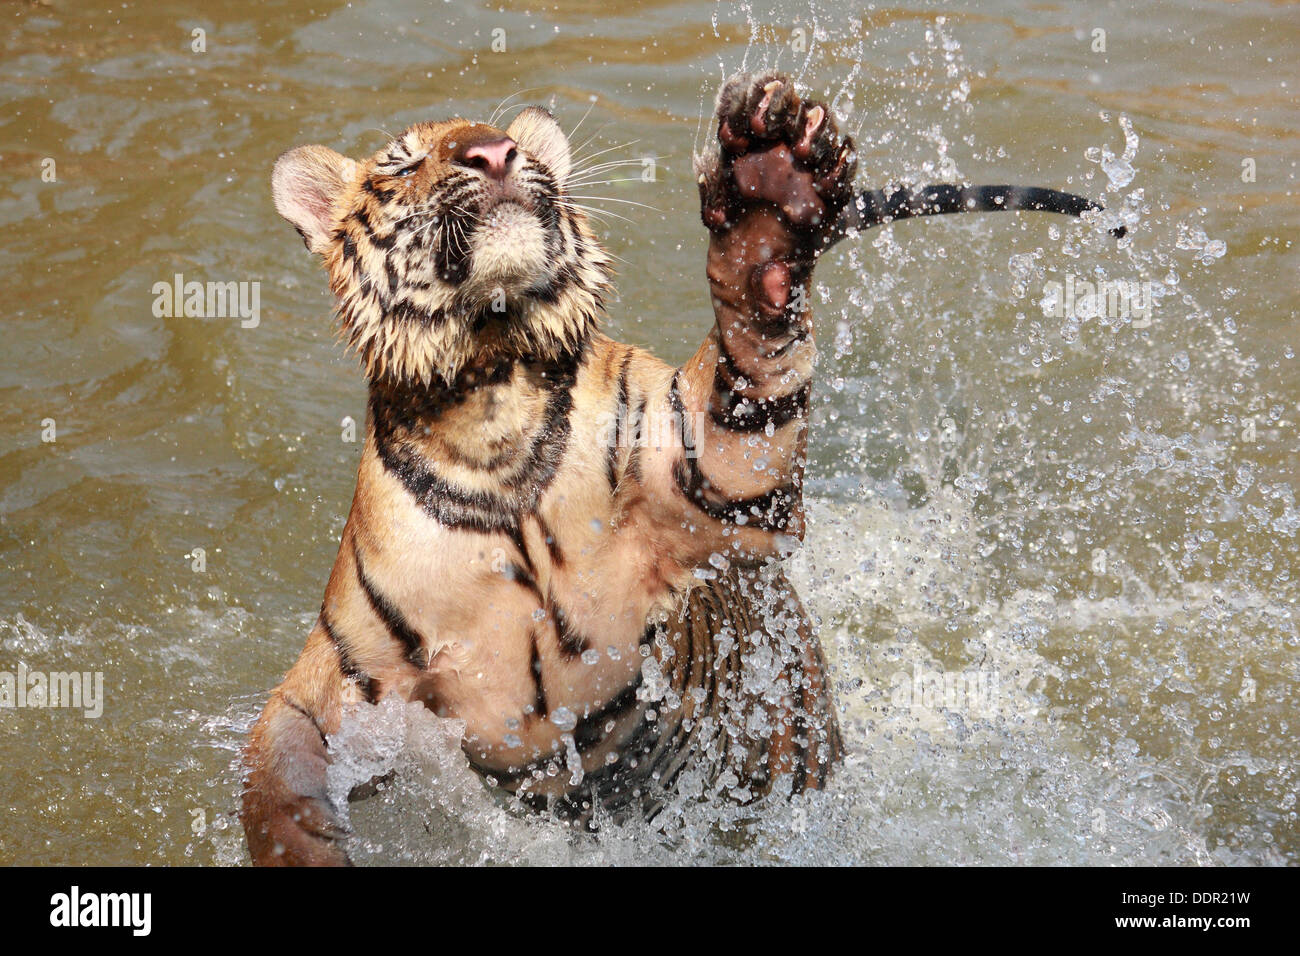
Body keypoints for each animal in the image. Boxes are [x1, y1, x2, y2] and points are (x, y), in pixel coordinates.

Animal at [240, 70, 856, 866]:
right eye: (403, 164)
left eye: (511, 140)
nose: (493, 152)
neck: (492, 409)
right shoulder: (349, 672)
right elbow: (276, 777)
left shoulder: (710, 477)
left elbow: (750, 354)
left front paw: (772, 192)